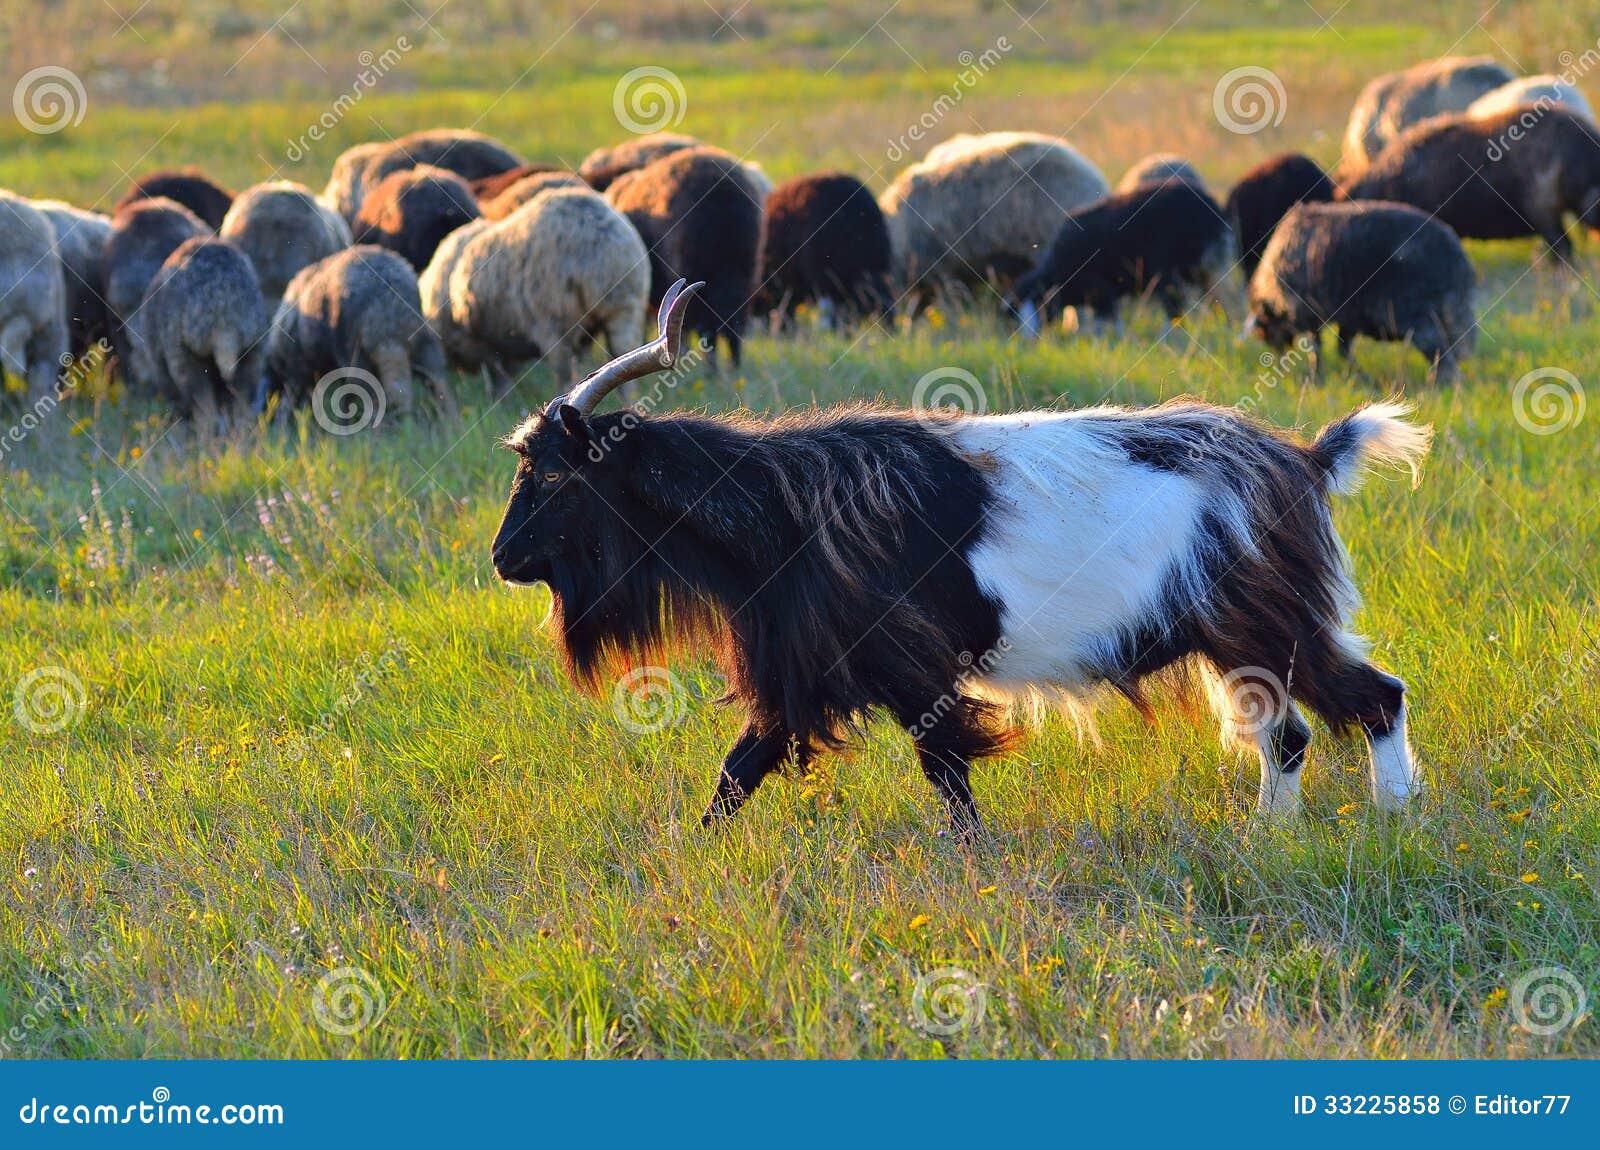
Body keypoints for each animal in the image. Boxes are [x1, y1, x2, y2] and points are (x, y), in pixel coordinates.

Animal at [492, 280, 1432, 837]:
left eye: (551, 472)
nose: (503, 558)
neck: (789, 510)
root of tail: (1303, 459)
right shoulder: (802, 668)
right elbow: (736, 772)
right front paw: (695, 855)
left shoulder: (910, 669)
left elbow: (944, 770)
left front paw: (974, 860)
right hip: (1241, 641)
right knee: (1290, 733)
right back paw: (1273, 836)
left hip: (1268, 624)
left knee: (1372, 699)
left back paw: (1392, 814)